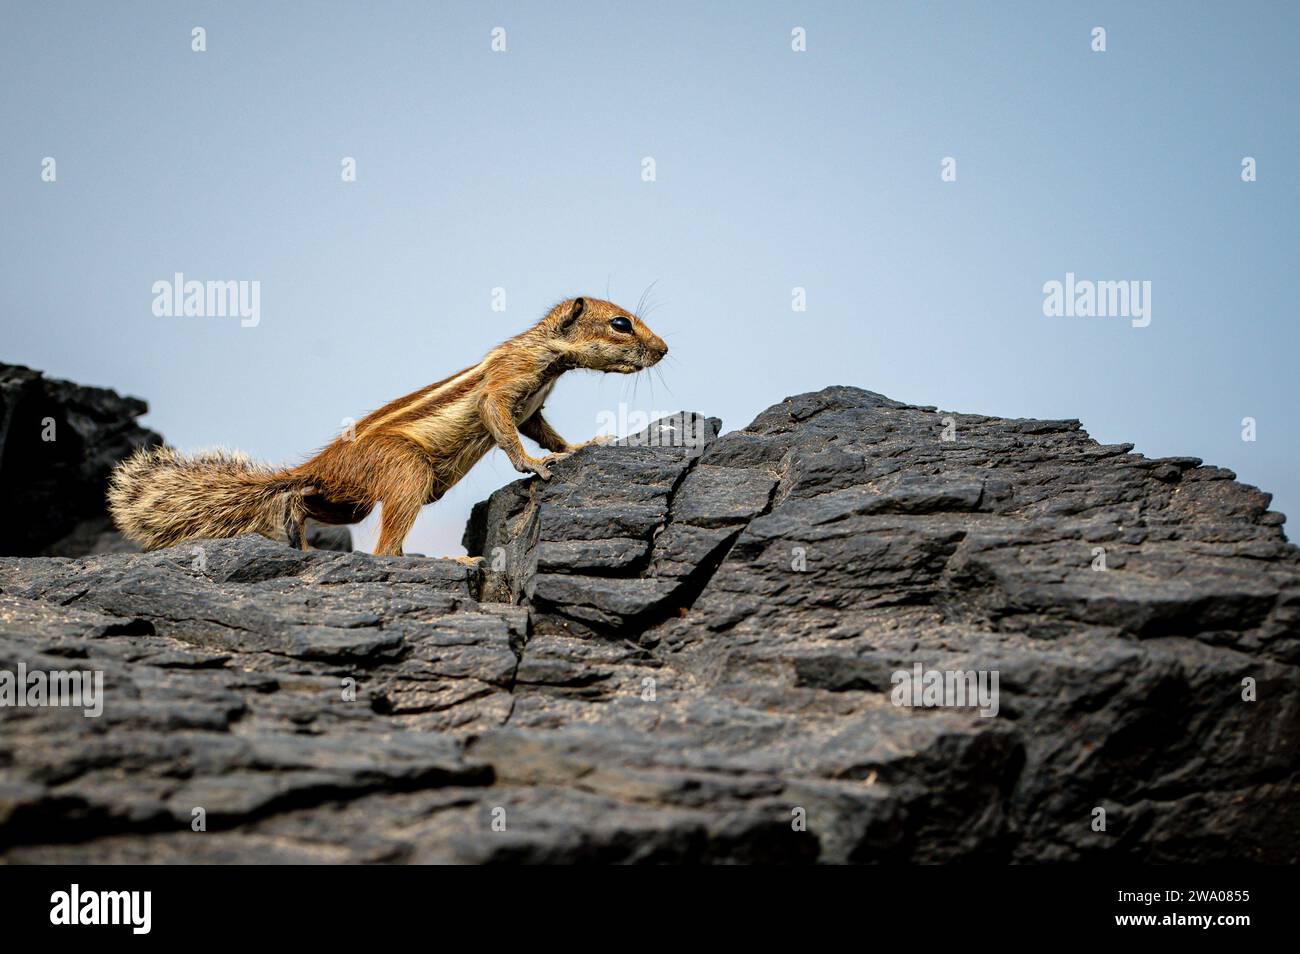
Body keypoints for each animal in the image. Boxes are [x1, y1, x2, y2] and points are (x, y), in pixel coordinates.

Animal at [108, 297, 668, 557]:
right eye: (621, 324)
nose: (663, 348)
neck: (549, 357)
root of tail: (321, 462)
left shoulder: (532, 407)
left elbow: (542, 429)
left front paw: (577, 444)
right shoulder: (505, 388)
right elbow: (504, 427)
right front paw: (536, 463)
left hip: (347, 499)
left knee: (311, 501)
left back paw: (295, 530)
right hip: (405, 470)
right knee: (388, 550)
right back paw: (451, 563)